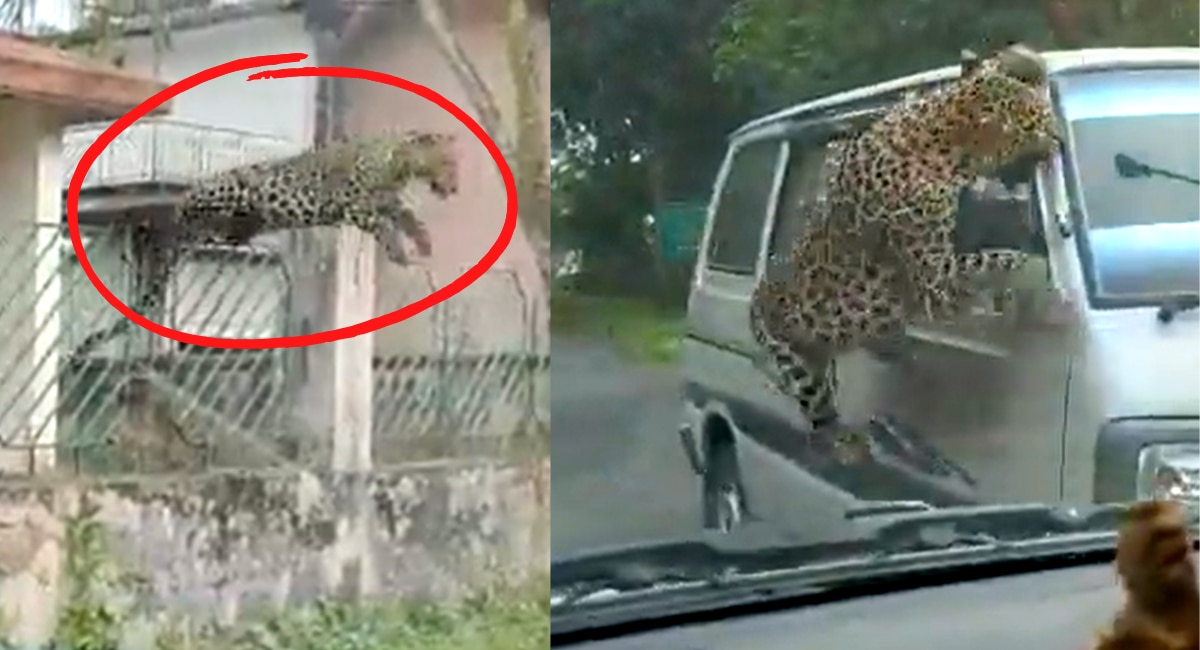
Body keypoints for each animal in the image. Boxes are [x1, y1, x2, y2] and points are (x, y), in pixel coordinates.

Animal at [748, 43, 1063, 448]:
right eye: (1041, 124)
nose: (1060, 141)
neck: (942, 137)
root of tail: (754, 303)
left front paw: (1023, 57)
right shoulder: (936, 281)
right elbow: (997, 259)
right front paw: (1036, 275)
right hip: (797, 364)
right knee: (819, 415)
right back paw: (848, 441)